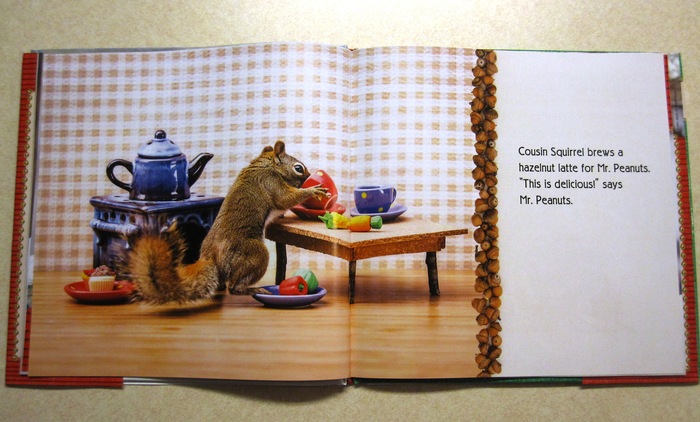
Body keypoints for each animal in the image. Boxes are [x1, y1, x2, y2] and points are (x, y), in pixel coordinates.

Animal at [125, 141, 328, 304]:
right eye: (298, 168)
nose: (310, 176)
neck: (265, 164)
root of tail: (211, 257)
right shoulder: (271, 182)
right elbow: (285, 199)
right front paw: (313, 190)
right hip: (254, 254)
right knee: (234, 287)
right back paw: (251, 289)